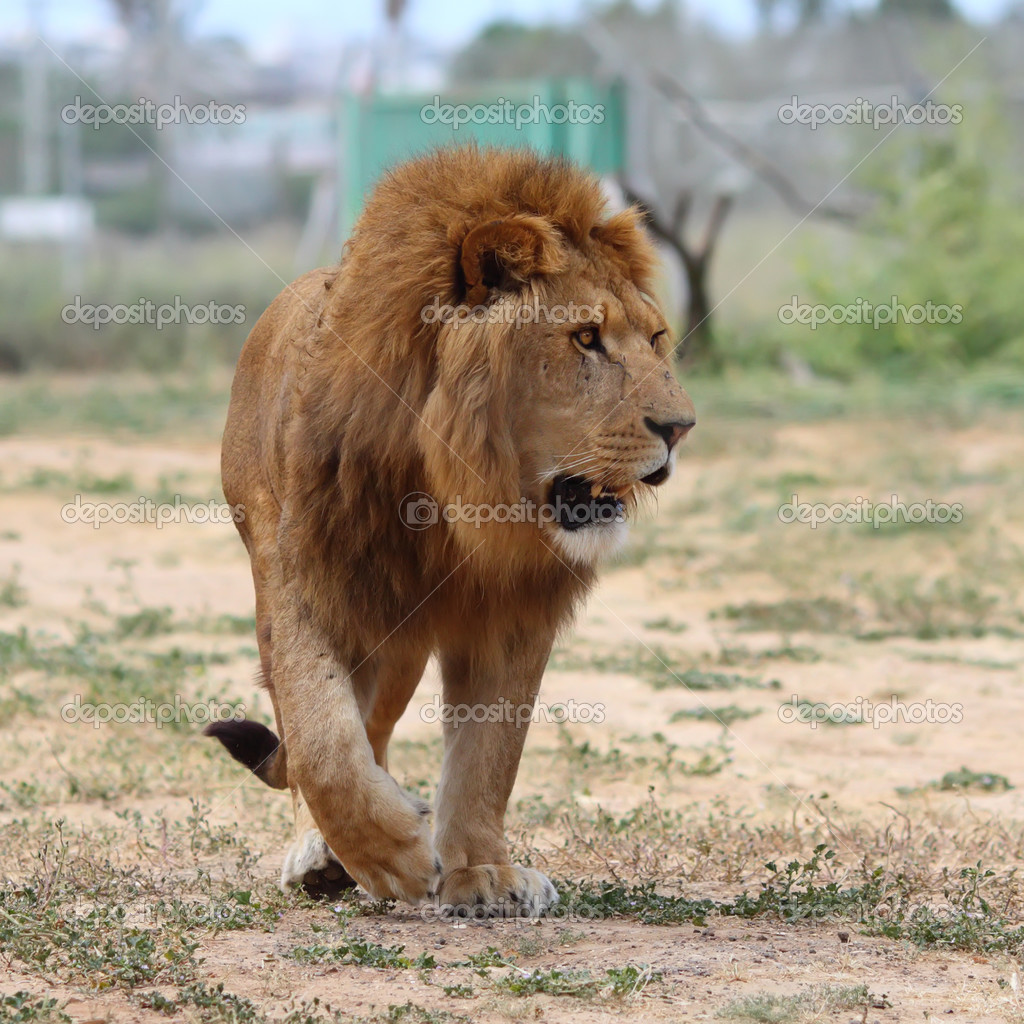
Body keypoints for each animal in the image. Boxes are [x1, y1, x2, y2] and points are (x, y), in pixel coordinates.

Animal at [205, 144, 695, 915]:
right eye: (585, 339)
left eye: (654, 339)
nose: (681, 428)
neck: (460, 502)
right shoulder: (305, 581)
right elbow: (320, 736)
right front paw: (392, 855)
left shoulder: (515, 610)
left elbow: (491, 752)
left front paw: (482, 872)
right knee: (324, 731)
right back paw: (323, 854)